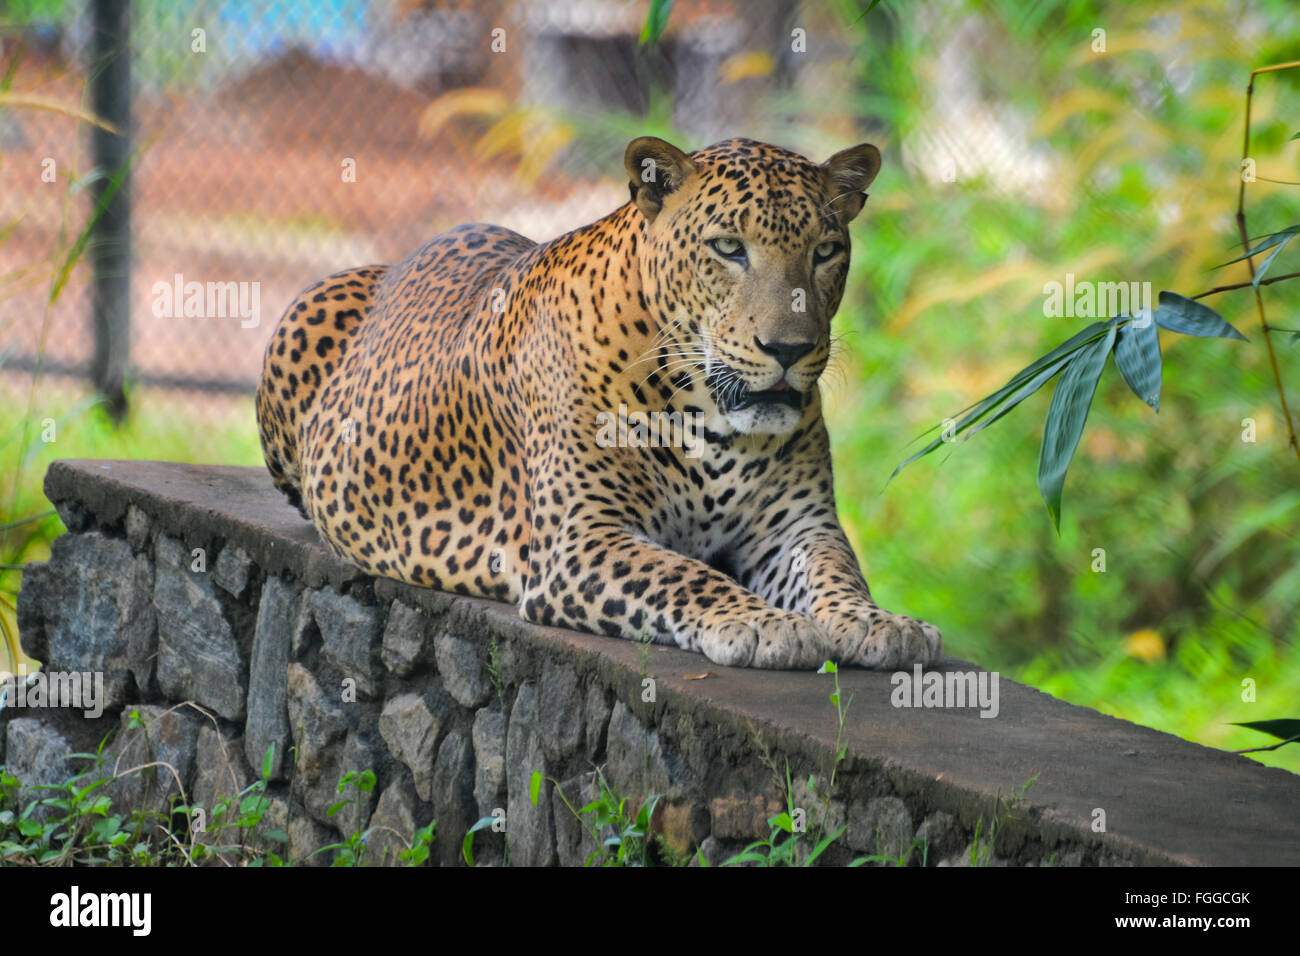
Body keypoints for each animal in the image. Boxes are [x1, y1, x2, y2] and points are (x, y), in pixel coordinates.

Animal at [256, 136, 942, 670]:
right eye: (728, 248)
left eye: (826, 251)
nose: (788, 349)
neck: (713, 418)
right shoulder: (583, 537)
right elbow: (685, 573)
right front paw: (763, 622)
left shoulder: (797, 525)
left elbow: (835, 569)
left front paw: (879, 622)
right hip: (301, 315)